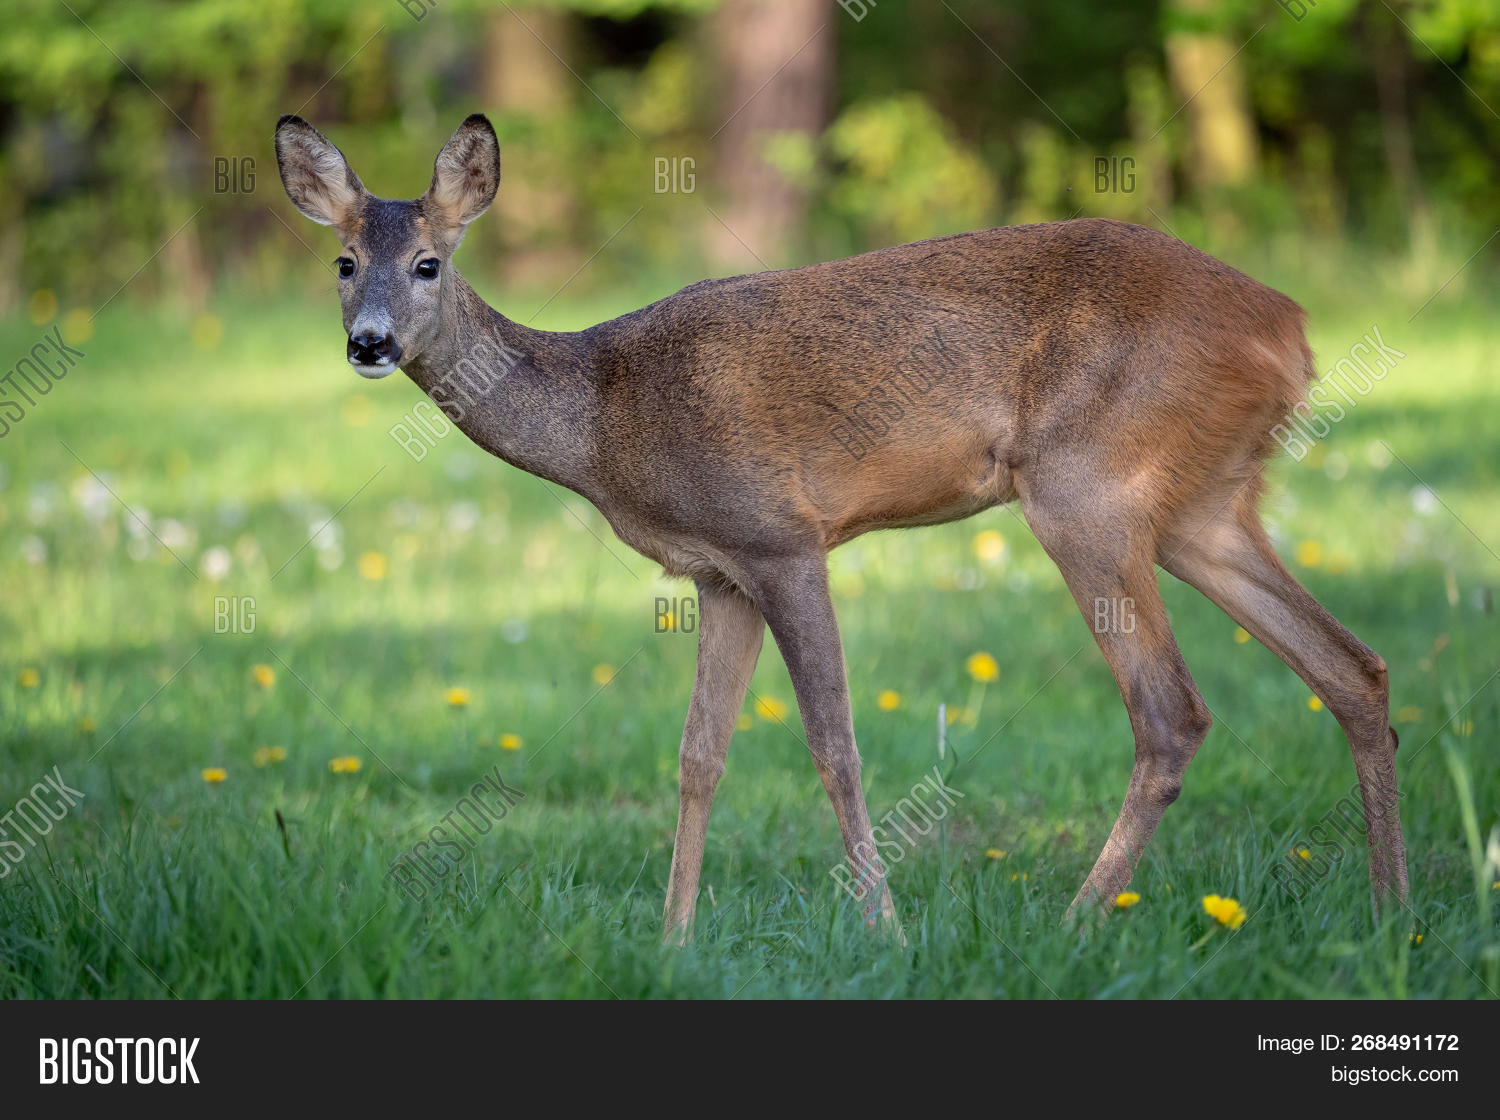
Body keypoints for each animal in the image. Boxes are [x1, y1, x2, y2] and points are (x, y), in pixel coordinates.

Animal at [274, 112, 1409, 941]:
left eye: (427, 261)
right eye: (342, 263)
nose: (369, 343)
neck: (606, 415)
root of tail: (1292, 329)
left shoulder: (782, 537)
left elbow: (835, 745)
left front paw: (885, 930)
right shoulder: (719, 572)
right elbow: (698, 754)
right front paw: (674, 940)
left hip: (1089, 487)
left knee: (1173, 712)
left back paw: (1073, 921)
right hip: (1203, 505)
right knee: (1353, 666)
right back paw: (1391, 912)